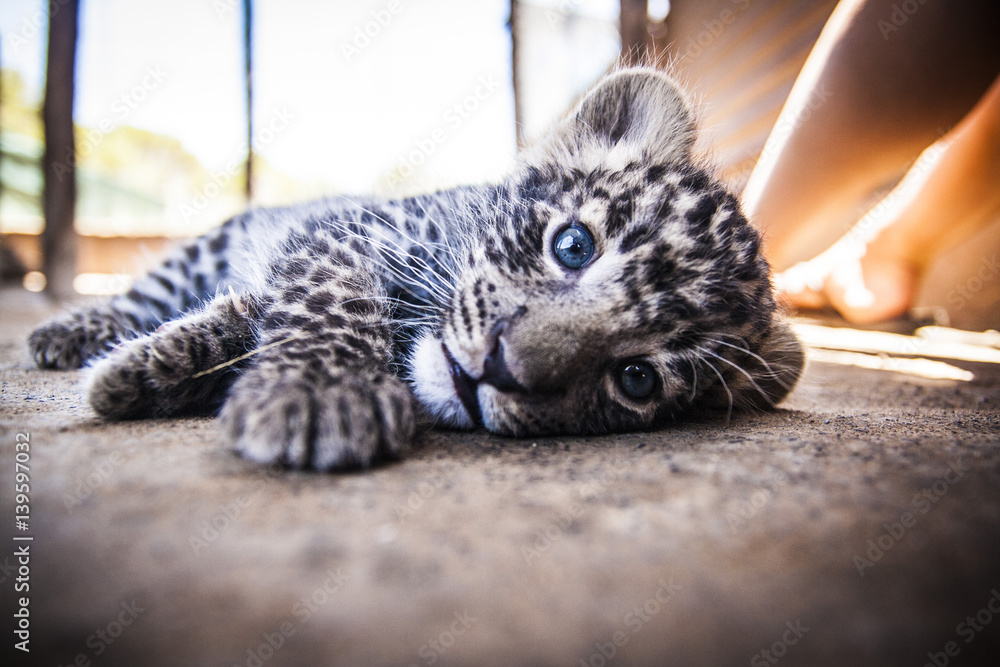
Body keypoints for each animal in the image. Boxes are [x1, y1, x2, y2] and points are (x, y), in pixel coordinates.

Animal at [27, 67, 805, 471]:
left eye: (637, 378)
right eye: (573, 246)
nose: (499, 369)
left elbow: (244, 318)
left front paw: (144, 373)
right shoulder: (346, 232)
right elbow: (333, 300)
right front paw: (319, 393)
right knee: (147, 288)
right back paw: (67, 332)